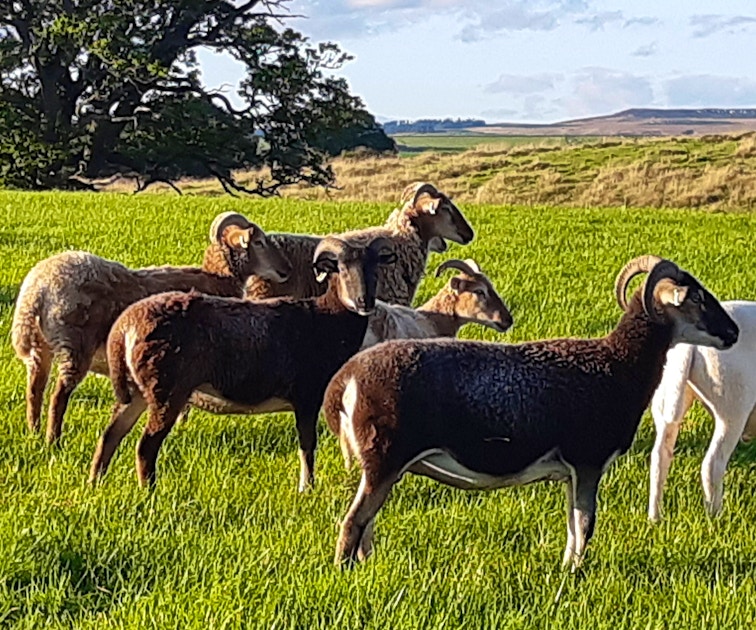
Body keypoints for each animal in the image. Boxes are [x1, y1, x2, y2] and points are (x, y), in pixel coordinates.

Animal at [11, 212, 291, 444]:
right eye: (258, 242)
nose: (286, 271)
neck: (218, 279)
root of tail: (37, 290)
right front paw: (181, 425)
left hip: (41, 346)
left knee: (35, 390)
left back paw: (34, 433)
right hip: (75, 344)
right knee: (59, 395)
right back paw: (53, 440)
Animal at [88, 235, 398, 492]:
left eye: (374, 269)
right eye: (341, 269)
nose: (364, 301)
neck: (327, 320)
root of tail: (124, 327)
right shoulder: (306, 396)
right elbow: (307, 446)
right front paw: (307, 489)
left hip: (137, 390)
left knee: (109, 436)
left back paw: (96, 484)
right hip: (167, 390)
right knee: (145, 446)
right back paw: (149, 493)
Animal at [322, 255, 739, 569]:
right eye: (696, 298)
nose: (733, 333)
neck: (617, 363)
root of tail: (346, 379)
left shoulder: (573, 471)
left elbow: (572, 525)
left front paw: (568, 567)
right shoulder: (587, 460)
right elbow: (585, 525)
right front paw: (574, 574)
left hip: (382, 466)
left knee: (365, 526)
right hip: (384, 458)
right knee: (353, 523)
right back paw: (346, 572)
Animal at [648, 300, 756, 522]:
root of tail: (690, 344)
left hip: (667, 396)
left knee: (659, 456)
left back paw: (655, 518)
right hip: (732, 408)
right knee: (712, 465)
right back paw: (716, 518)